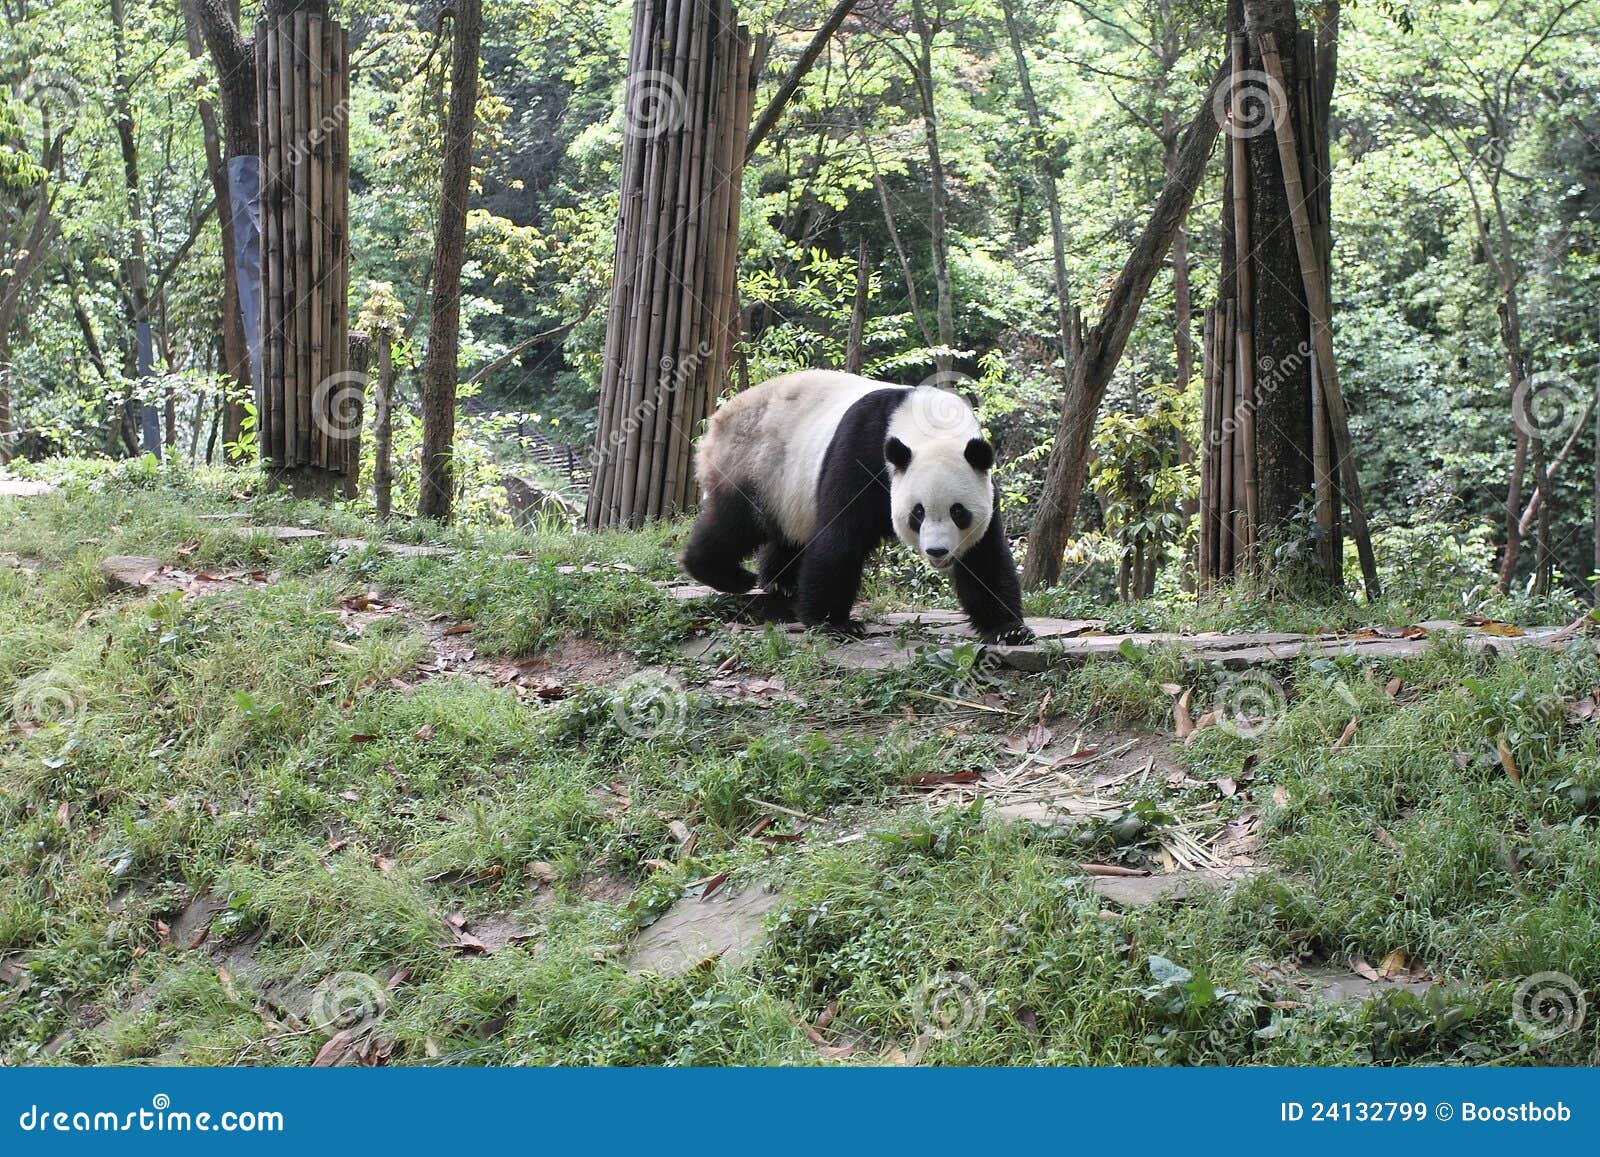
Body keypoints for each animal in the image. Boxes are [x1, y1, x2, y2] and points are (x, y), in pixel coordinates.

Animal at [681, 369, 1035, 644]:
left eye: (958, 512)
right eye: (918, 512)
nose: (937, 551)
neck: (930, 425)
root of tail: (720, 416)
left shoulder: (982, 480)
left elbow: (984, 556)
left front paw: (1009, 630)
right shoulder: (863, 451)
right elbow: (840, 536)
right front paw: (835, 623)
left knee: (787, 533)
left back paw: (781, 582)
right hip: (754, 462)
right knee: (735, 523)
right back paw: (729, 575)